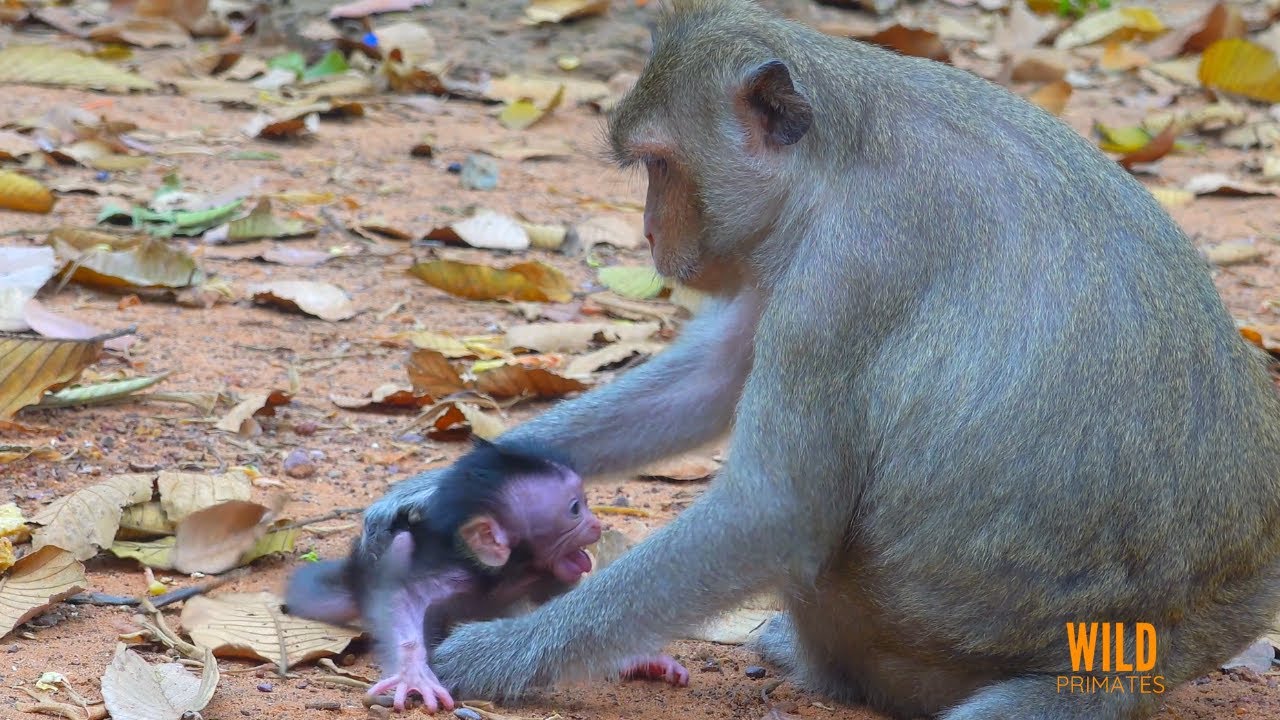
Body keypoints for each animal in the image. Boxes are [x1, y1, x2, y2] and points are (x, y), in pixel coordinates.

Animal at [284, 440, 689, 713]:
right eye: (575, 509)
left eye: (586, 503)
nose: (596, 524)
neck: (514, 568)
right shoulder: (459, 571)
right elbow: (404, 599)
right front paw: (414, 673)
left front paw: (635, 657)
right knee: (398, 551)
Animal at [361, 1, 1280, 718]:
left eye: (660, 166)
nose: (650, 232)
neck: (837, 156)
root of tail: (1164, 648)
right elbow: (711, 382)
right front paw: (440, 488)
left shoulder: (849, 266)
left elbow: (773, 511)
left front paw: (493, 654)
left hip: (918, 635)